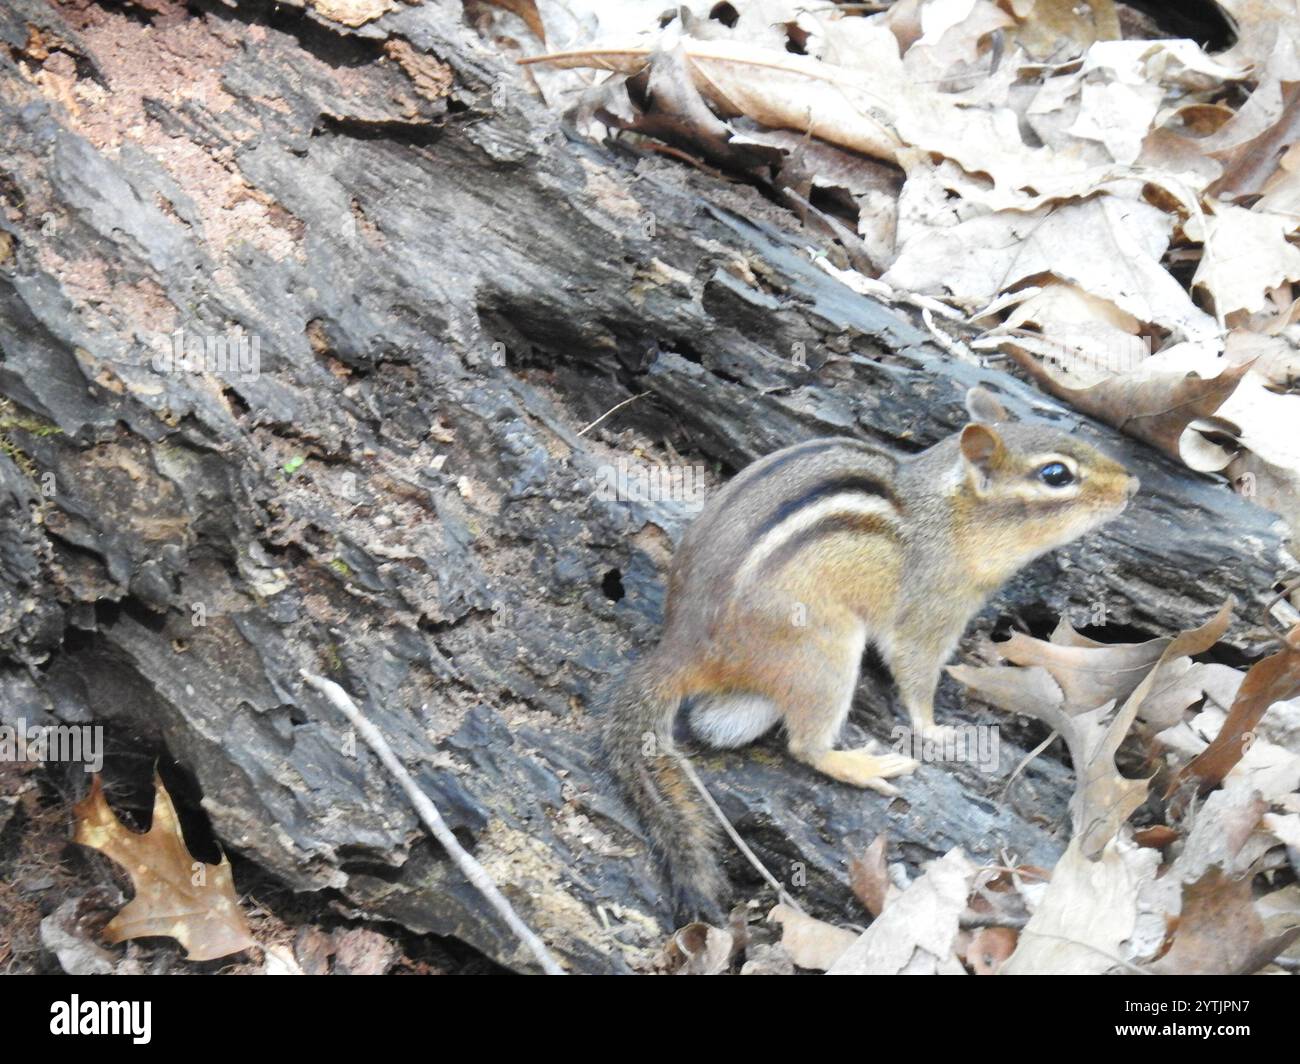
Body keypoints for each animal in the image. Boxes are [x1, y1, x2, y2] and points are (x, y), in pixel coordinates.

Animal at [601, 386, 1140, 923]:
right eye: (1056, 475)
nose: (1133, 484)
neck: (951, 516)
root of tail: (681, 646)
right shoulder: (929, 615)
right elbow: (916, 674)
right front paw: (936, 731)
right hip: (825, 654)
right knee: (806, 747)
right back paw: (862, 766)